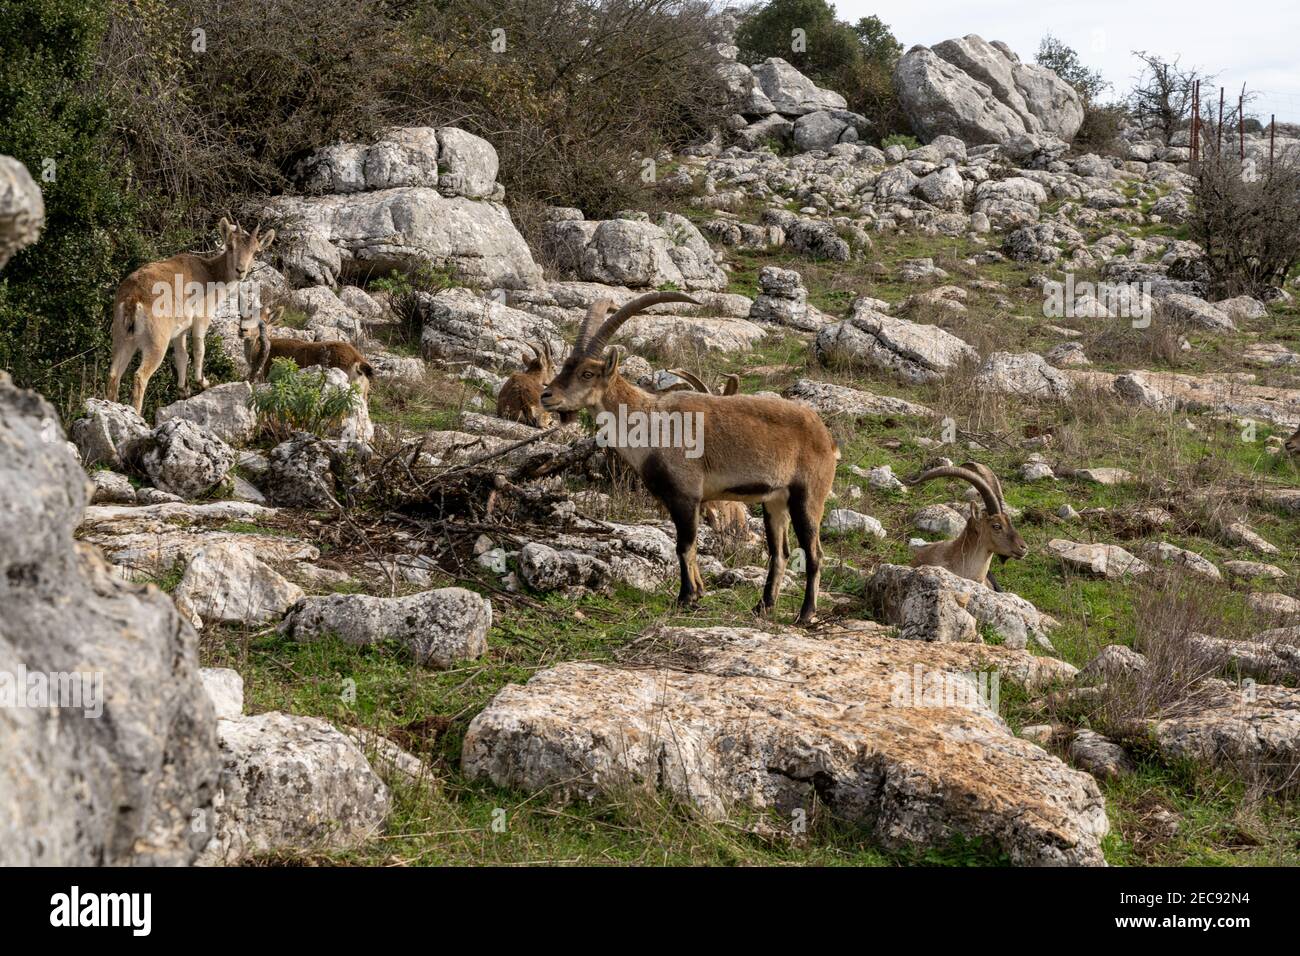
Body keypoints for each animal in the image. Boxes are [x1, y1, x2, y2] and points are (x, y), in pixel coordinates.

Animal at [108, 217, 274, 412]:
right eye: (230, 246)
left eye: (256, 251)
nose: (240, 271)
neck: (211, 274)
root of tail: (132, 299)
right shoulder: (201, 319)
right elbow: (199, 349)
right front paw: (203, 382)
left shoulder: (179, 331)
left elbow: (182, 356)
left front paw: (183, 390)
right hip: (157, 342)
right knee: (140, 376)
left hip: (122, 337)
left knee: (114, 374)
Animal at [540, 292, 838, 625]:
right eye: (566, 366)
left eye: (587, 373)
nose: (546, 396)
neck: (650, 422)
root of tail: (825, 436)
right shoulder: (677, 498)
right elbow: (686, 545)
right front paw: (698, 592)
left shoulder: (686, 493)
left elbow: (684, 545)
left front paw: (686, 597)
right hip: (775, 501)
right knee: (780, 552)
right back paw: (763, 606)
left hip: (808, 496)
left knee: (814, 552)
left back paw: (806, 614)